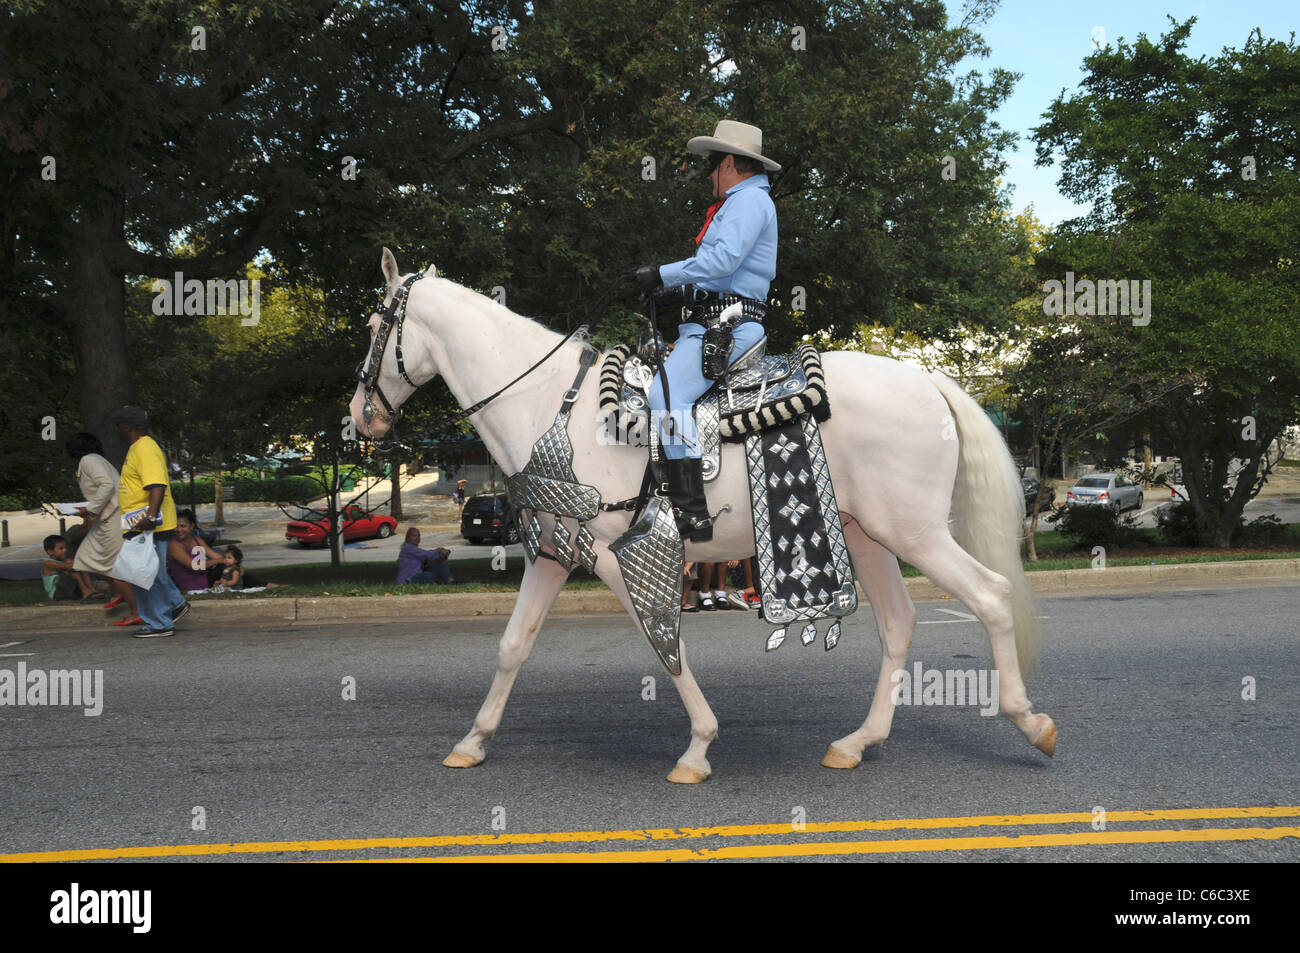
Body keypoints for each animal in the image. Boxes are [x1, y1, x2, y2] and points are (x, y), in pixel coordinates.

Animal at [349, 248, 1057, 783]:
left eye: (376, 324)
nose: (359, 416)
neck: (550, 405)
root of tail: (926, 379)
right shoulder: (552, 553)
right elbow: (512, 645)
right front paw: (473, 741)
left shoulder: (623, 554)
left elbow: (666, 645)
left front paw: (698, 747)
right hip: (869, 537)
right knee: (899, 624)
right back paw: (857, 743)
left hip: (917, 534)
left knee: (991, 597)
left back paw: (1031, 722)